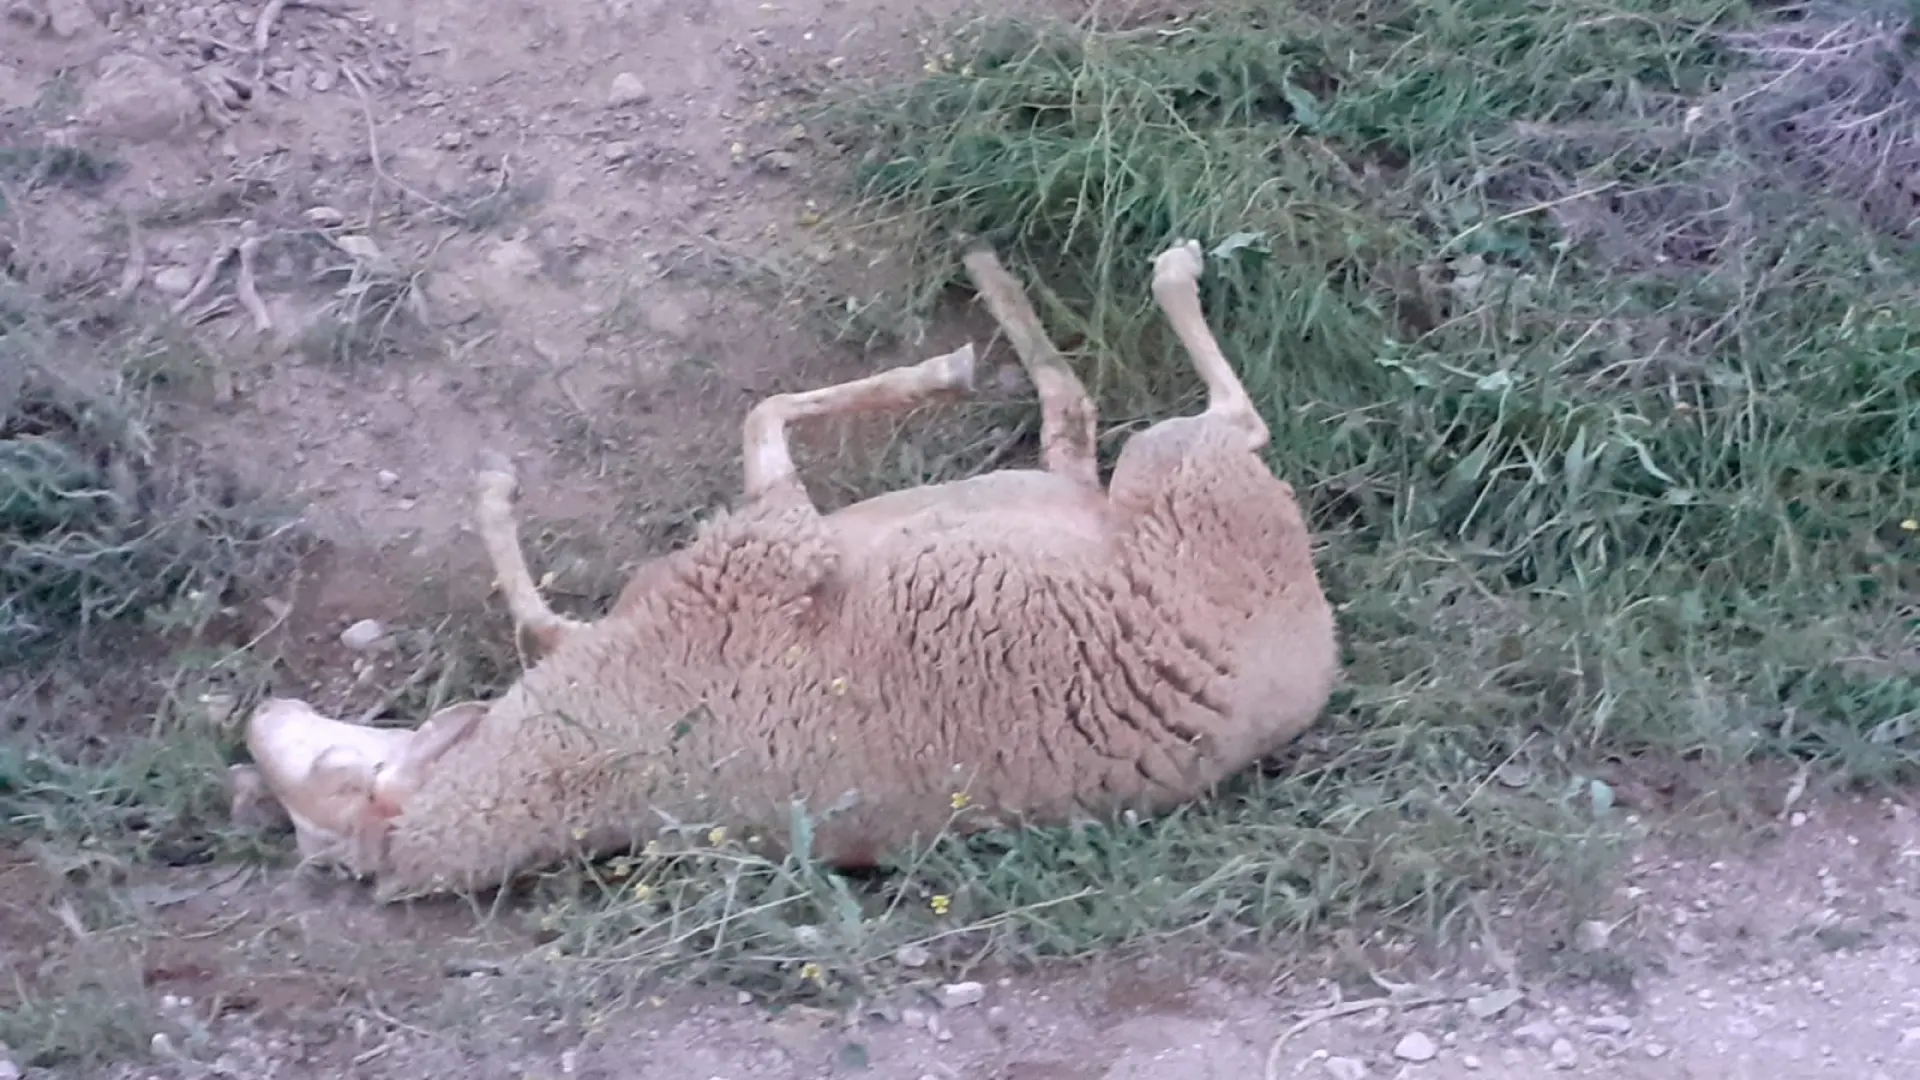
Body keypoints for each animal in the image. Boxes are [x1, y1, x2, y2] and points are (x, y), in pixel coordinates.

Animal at [229, 239, 1340, 901]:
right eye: (323, 785)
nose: (259, 714)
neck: (588, 761)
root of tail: (1320, 650)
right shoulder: (763, 551)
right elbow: (761, 420)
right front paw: (940, 372)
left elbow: (535, 613)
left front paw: (496, 496)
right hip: (1184, 475)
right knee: (1222, 419)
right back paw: (1151, 277)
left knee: (1072, 428)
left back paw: (1001, 286)